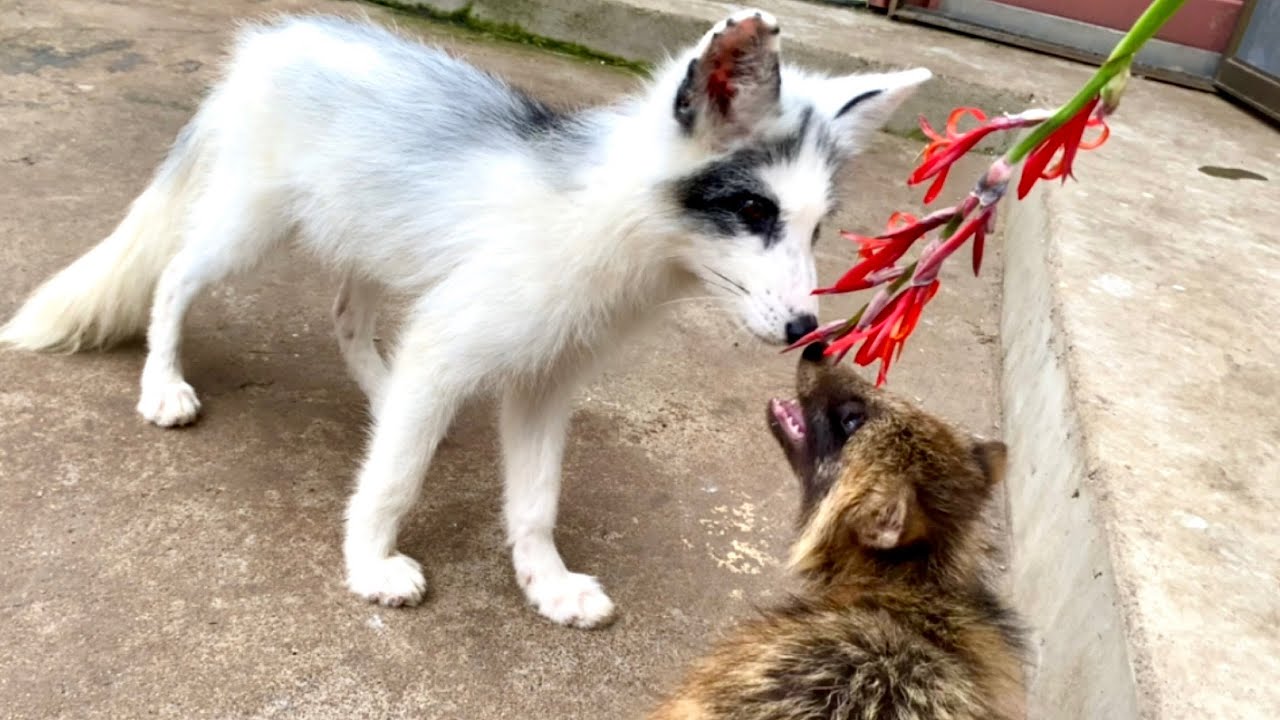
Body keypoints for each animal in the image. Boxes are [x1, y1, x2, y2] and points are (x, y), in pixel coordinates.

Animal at [0, 10, 930, 627]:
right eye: (752, 210)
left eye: (816, 228)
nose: (809, 333)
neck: (595, 222)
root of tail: (274, 40)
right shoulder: (455, 343)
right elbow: (394, 479)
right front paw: (370, 564)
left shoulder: (545, 379)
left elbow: (536, 501)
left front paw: (546, 583)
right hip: (250, 225)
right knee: (174, 278)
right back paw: (163, 384)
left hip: (375, 245)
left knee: (350, 320)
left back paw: (385, 399)